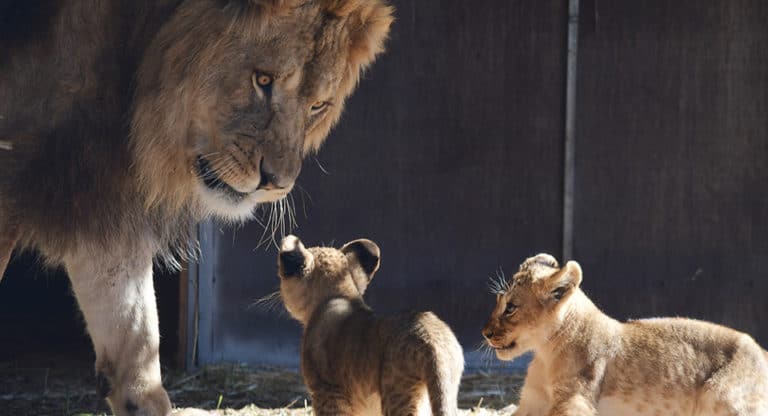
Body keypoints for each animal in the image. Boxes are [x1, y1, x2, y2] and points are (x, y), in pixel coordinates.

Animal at [482, 254, 768, 416]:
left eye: (510, 307)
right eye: (498, 301)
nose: (485, 333)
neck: (544, 353)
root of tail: (762, 352)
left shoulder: (575, 402)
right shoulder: (532, 402)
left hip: (722, 396)